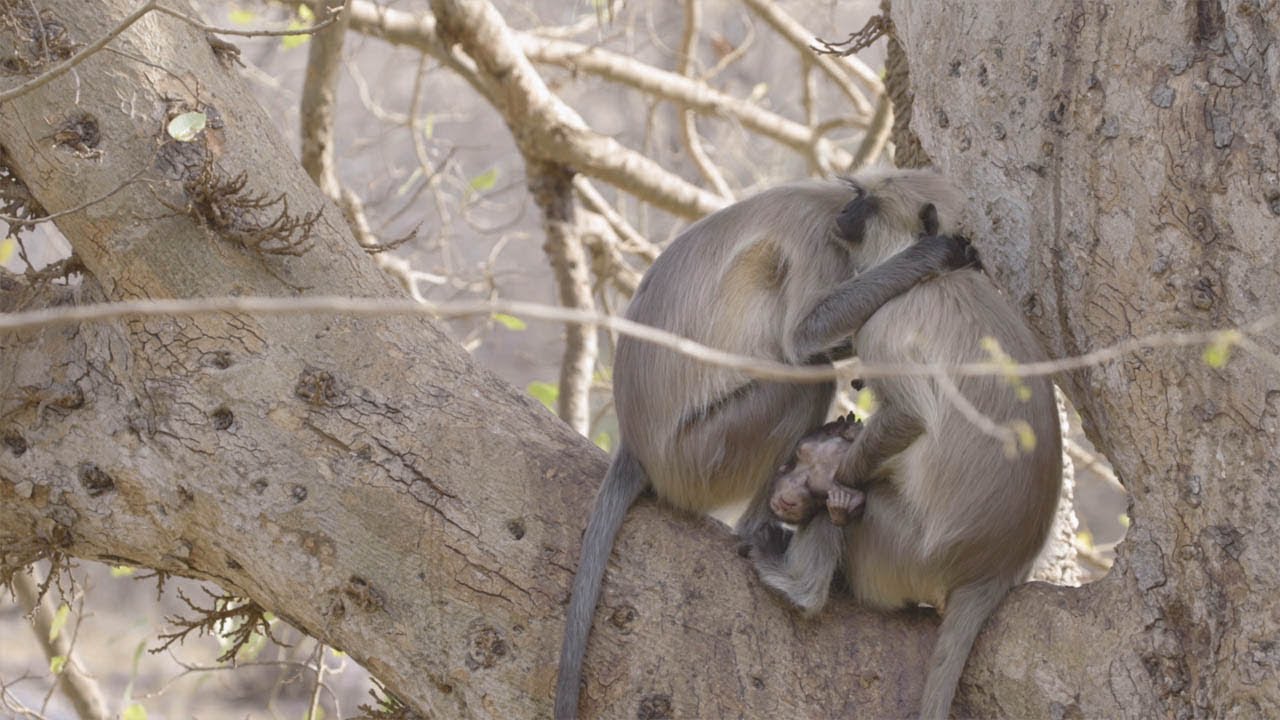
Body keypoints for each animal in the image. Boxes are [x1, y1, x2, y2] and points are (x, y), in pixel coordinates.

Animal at [555, 176, 979, 718]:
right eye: (859, 195)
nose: (848, 212)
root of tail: (635, 445)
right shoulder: (824, 242)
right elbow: (803, 336)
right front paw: (935, 255)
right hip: (704, 453)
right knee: (806, 379)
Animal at [750, 170, 1062, 720]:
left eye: (865, 201)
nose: (843, 213)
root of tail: (997, 566)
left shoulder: (889, 322)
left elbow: (910, 415)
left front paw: (829, 472)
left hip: (904, 551)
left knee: (845, 510)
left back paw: (802, 578)